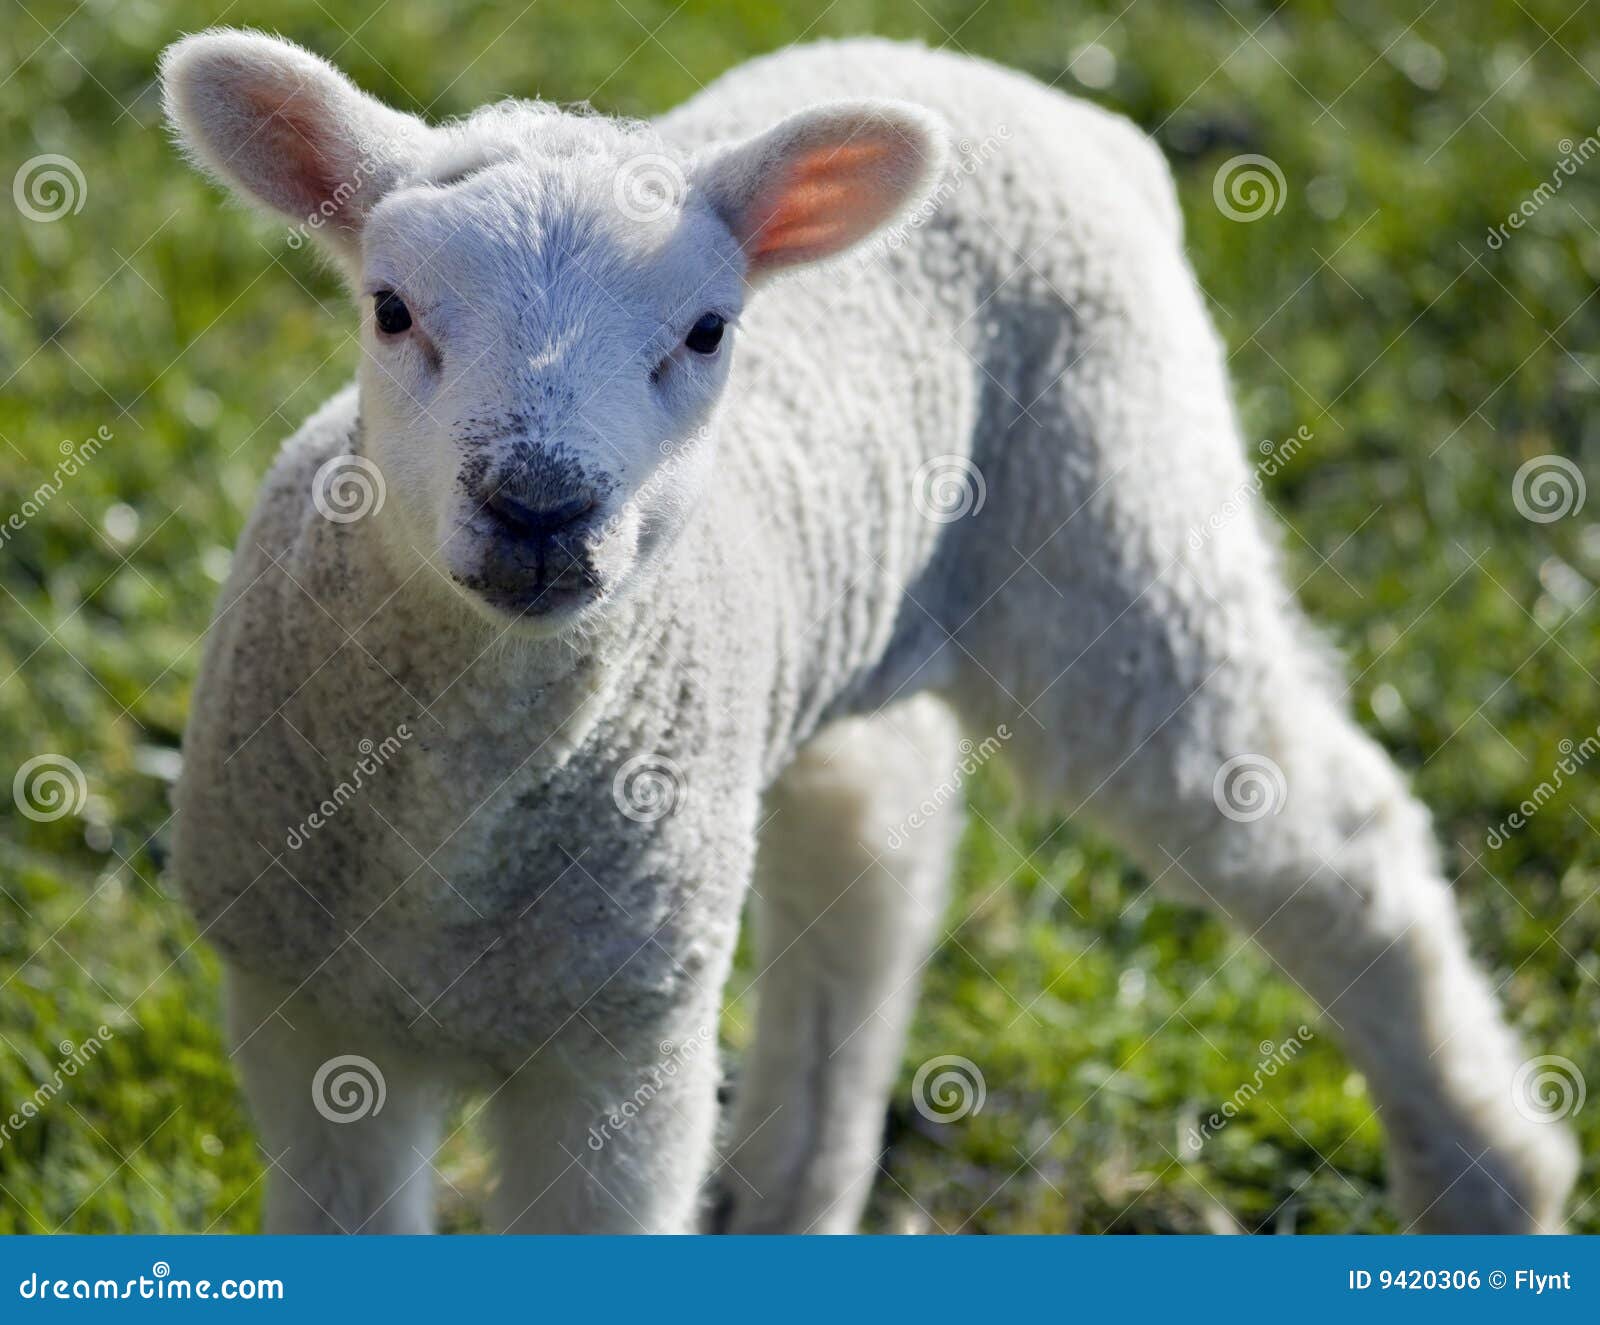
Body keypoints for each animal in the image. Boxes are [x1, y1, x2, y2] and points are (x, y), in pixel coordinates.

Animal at [161, 28, 1578, 1234]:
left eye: (708, 330)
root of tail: (1032, 94)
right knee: (877, 843)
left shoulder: (625, 1044)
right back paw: (797, 1180)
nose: (539, 506)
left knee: (1335, 832)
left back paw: (1489, 1180)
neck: (454, 838)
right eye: (391, 309)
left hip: (1120, 528)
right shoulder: (305, 1009)